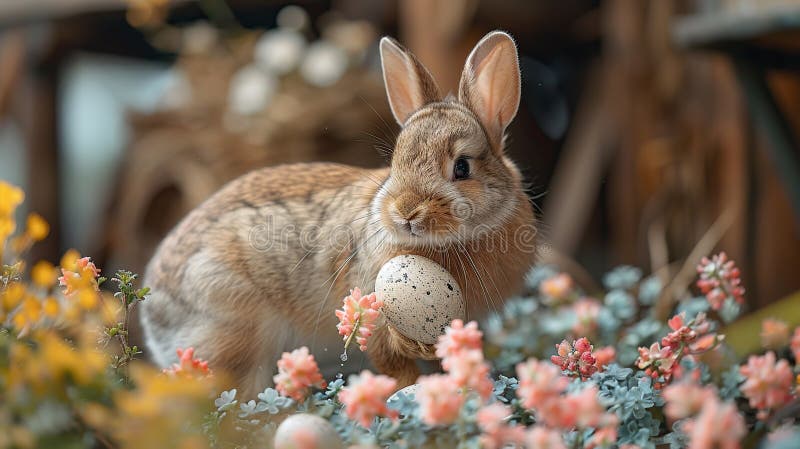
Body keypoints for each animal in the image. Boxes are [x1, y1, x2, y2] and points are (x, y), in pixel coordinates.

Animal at [140, 31, 537, 398]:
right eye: (397, 160)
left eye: (462, 167)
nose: (405, 212)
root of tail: (153, 308)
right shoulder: (372, 307)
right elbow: (394, 363)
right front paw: (405, 388)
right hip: (236, 330)